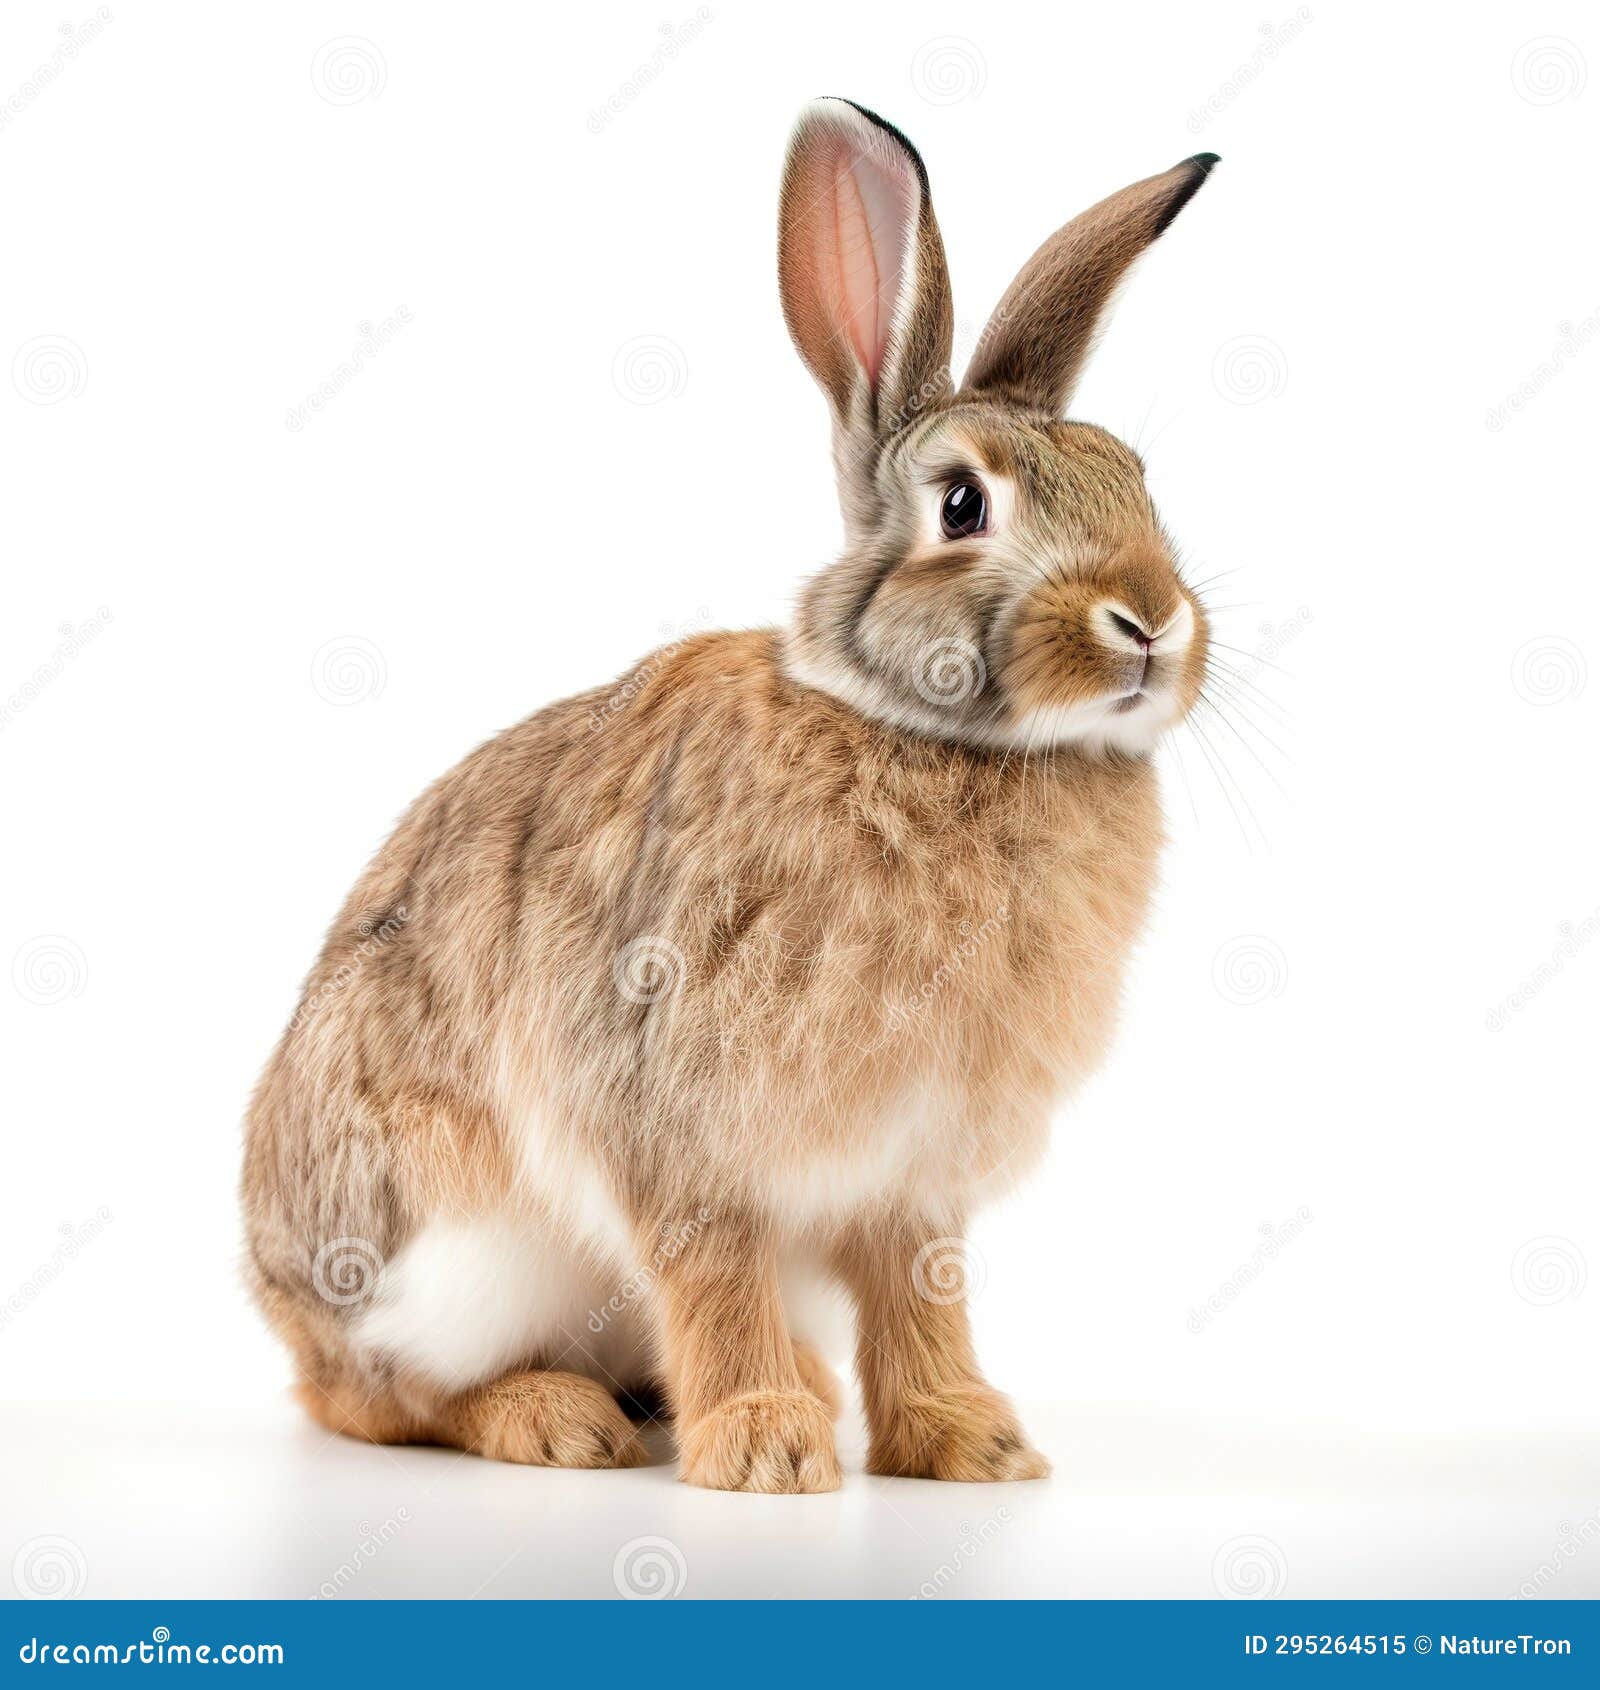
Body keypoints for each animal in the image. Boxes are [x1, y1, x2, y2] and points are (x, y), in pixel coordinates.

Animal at [242, 97, 1219, 1493]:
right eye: (962, 503)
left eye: (1135, 477)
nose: (1150, 620)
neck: (936, 739)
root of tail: (274, 1287)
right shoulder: (682, 1122)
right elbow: (711, 1269)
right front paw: (764, 1451)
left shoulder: (911, 1179)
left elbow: (921, 1293)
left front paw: (967, 1441)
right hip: (442, 1256)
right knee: (373, 1396)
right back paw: (559, 1418)